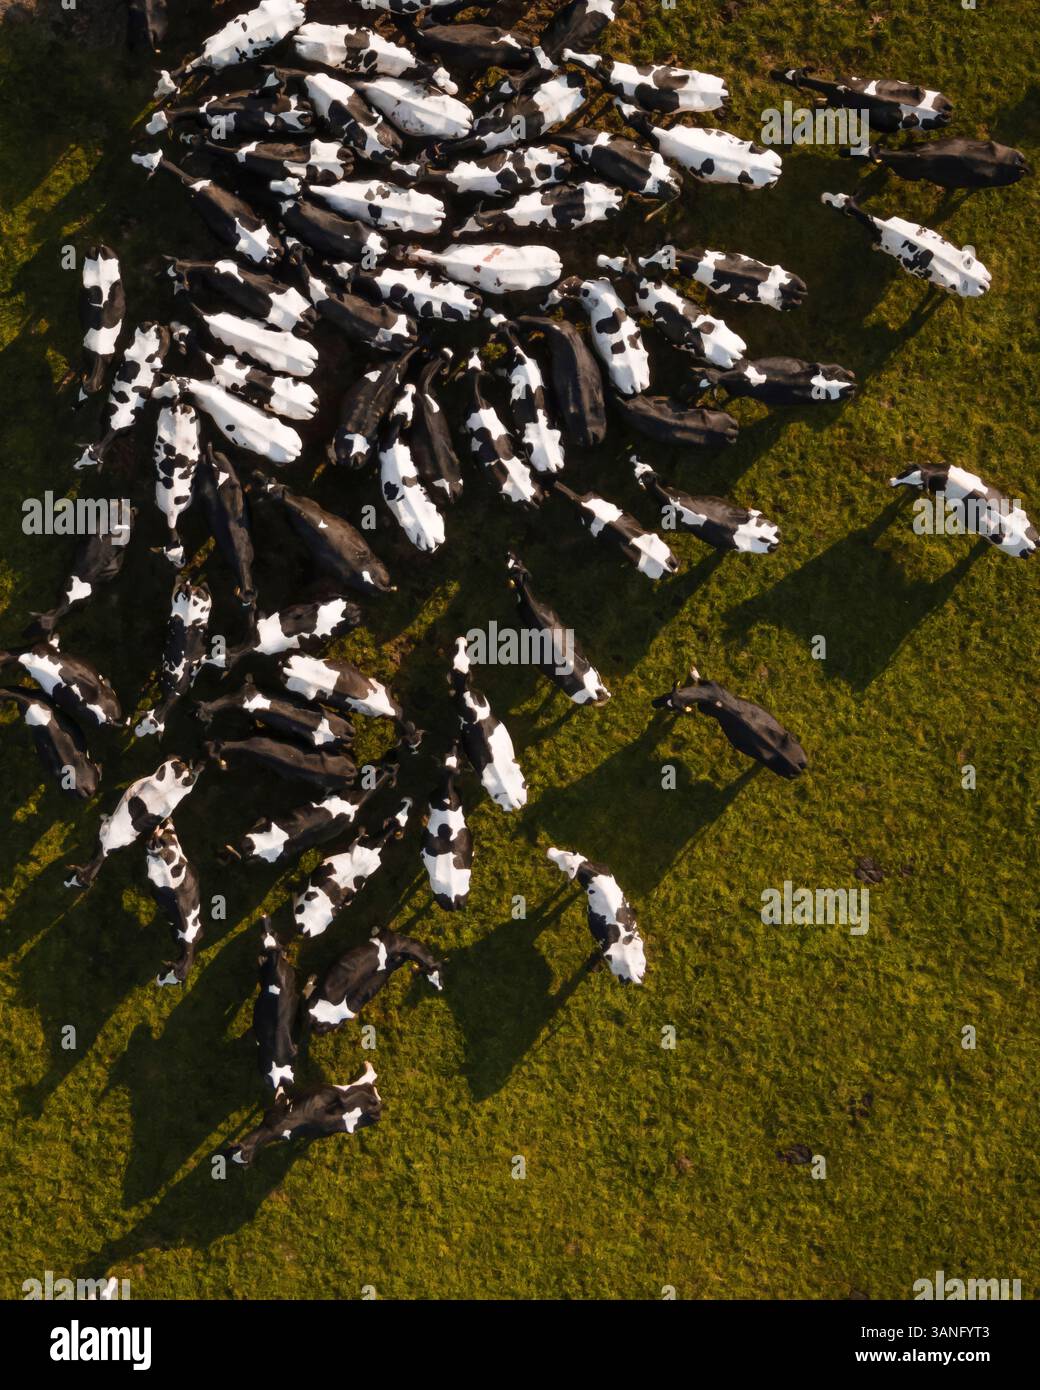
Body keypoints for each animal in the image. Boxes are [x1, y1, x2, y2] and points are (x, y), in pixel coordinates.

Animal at [226, 1063, 381, 1167]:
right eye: (231, 1156)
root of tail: (375, 1103)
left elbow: (280, 1091)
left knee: (371, 1076)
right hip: (354, 1088)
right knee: (369, 1079)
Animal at [652, 667, 808, 778]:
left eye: (669, 707)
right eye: (666, 694)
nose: (653, 703)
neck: (711, 696)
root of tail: (796, 764)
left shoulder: (705, 707)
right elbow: (700, 678)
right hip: (796, 746)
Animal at [770, 66, 952, 132]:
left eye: (789, 80)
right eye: (787, 68)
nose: (772, 72)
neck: (841, 88)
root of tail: (945, 111)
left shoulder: (836, 102)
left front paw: (819, 101)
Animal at [821, 192, 991, 296]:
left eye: (835, 206)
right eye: (839, 196)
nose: (823, 197)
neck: (881, 226)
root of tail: (981, 281)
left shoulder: (884, 246)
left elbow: (876, 246)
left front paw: (873, 247)